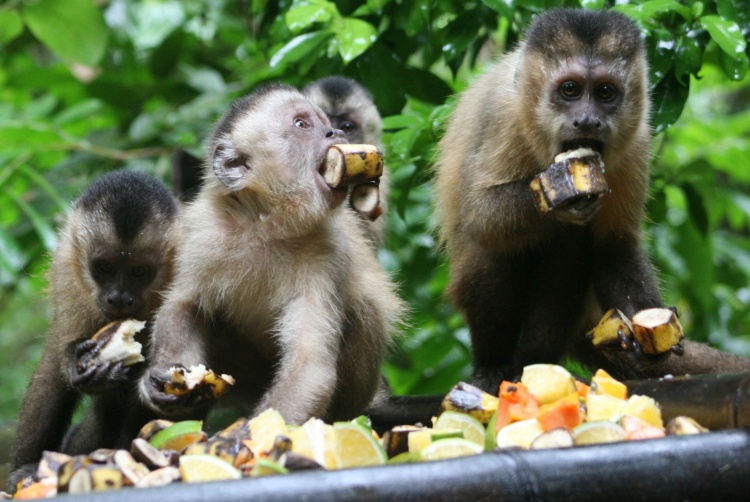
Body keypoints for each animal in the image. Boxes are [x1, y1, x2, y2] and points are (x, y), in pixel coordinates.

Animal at [8, 170, 180, 491]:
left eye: (139, 271)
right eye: (105, 267)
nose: (119, 298)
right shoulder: (66, 264)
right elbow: (61, 352)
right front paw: (76, 358)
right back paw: (25, 471)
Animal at [433, 8, 750, 393]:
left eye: (605, 92)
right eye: (570, 89)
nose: (588, 119)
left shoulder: (638, 139)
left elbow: (613, 245)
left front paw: (648, 344)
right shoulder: (502, 116)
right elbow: (480, 217)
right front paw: (562, 191)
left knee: (573, 245)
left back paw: (533, 364)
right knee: (496, 246)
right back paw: (493, 366)